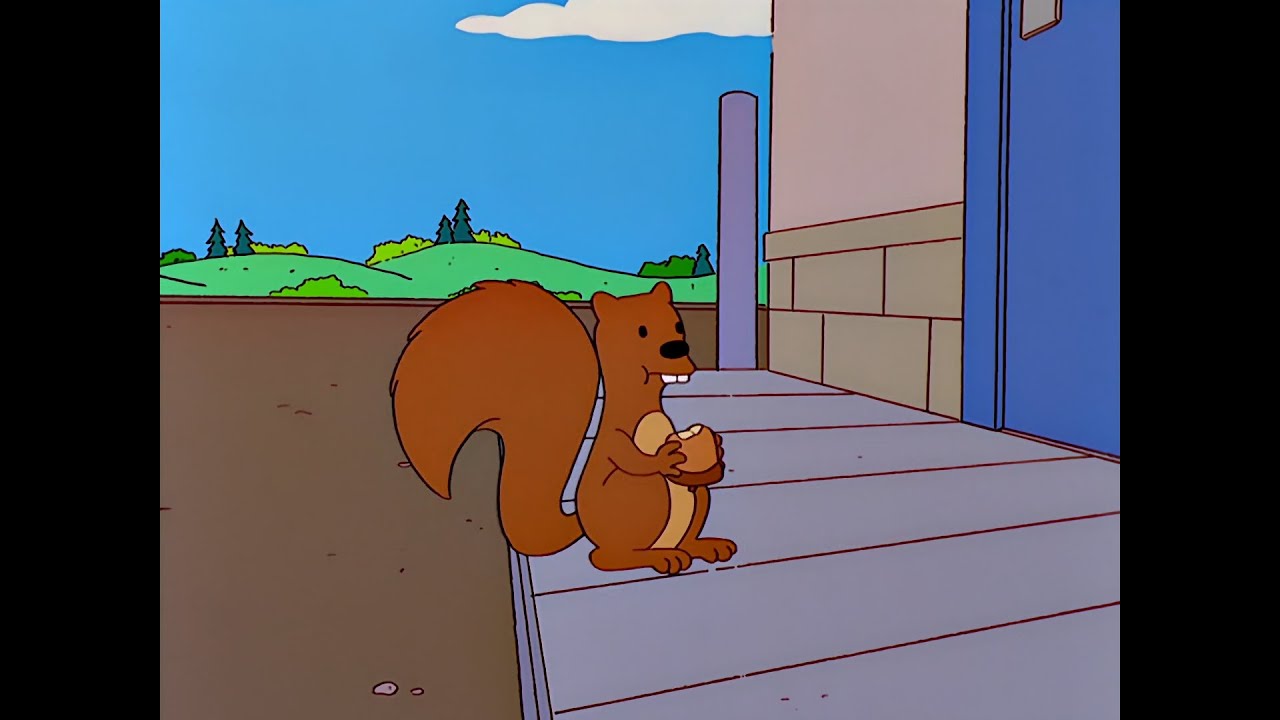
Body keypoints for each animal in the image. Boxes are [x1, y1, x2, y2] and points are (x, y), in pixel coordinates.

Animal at [390, 280, 738, 575]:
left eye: (679, 325)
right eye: (641, 330)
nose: (677, 349)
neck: (645, 404)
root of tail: (584, 526)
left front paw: (717, 449)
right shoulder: (616, 438)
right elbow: (627, 457)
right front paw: (664, 459)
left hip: (695, 497)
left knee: (686, 524)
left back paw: (700, 546)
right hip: (646, 500)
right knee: (606, 557)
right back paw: (658, 557)